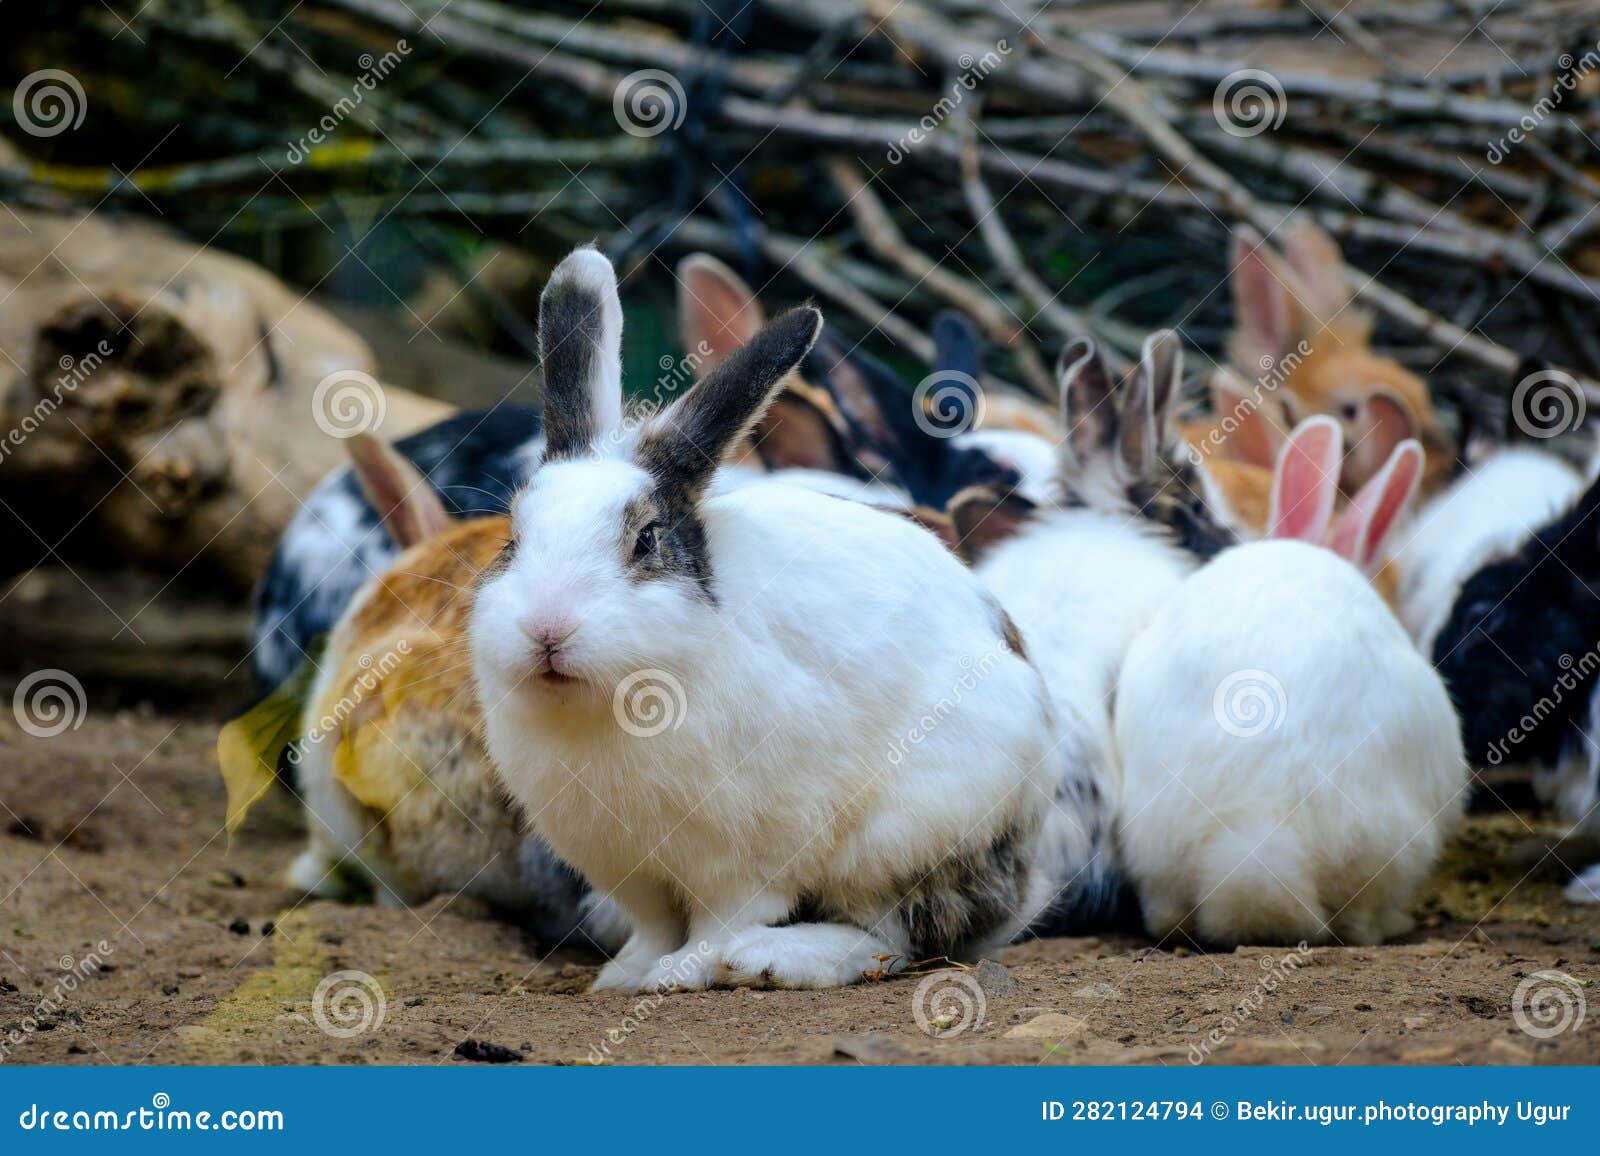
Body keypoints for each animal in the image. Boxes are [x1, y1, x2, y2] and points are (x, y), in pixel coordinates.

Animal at [472, 247, 1060, 992]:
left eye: (646, 540)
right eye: (514, 538)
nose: (547, 630)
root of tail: (1022, 878)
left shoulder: (742, 861)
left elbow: (718, 921)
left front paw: (679, 974)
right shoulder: (630, 871)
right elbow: (650, 925)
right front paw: (625, 976)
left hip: (908, 833)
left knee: (899, 934)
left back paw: (773, 958)